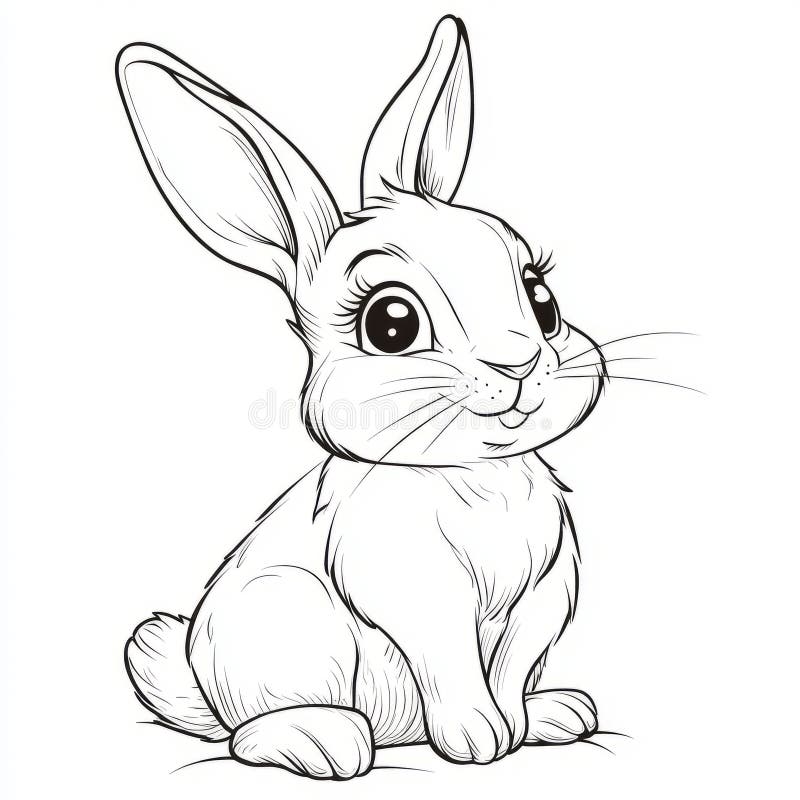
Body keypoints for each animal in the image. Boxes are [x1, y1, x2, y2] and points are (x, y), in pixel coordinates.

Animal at [118, 15, 606, 779]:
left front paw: (519, 727)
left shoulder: (544, 595)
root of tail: (202, 686)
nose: (522, 363)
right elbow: (454, 668)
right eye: (391, 323)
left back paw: (560, 712)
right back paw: (326, 740)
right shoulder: (415, 595)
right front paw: (479, 741)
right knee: (251, 735)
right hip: (287, 629)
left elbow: (511, 665)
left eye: (542, 300)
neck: (468, 475)